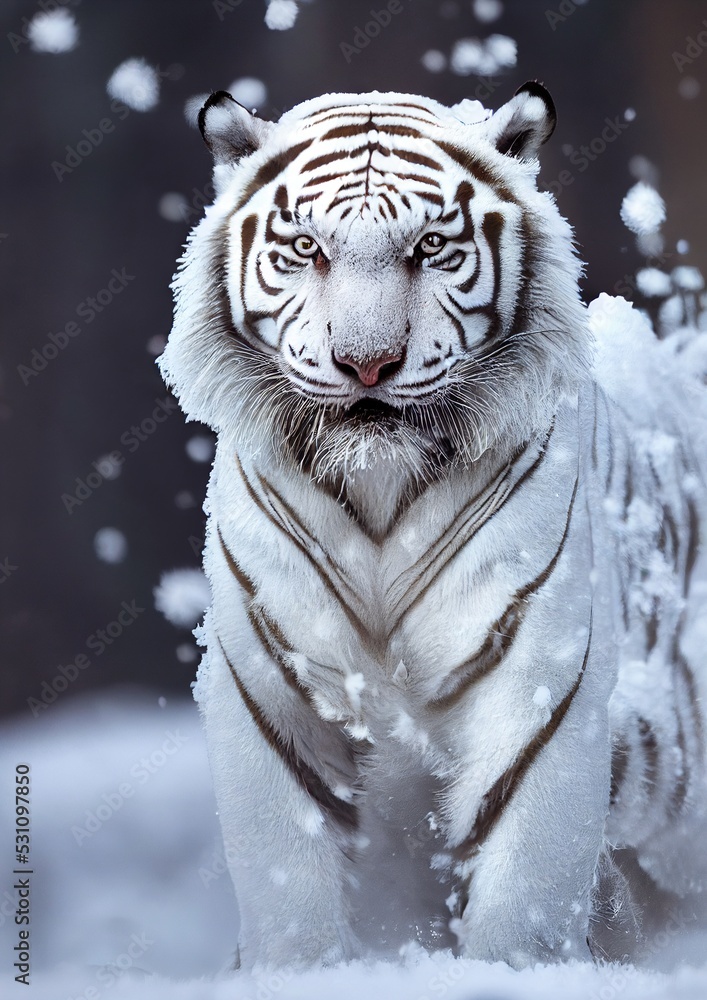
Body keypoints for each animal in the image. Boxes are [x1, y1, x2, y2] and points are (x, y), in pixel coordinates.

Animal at [159, 83, 707, 971]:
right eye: (306, 247)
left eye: (430, 246)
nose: (366, 363)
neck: (380, 491)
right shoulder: (266, 675)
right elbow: (283, 867)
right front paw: (295, 972)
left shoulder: (535, 675)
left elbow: (525, 868)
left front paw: (513, 972)